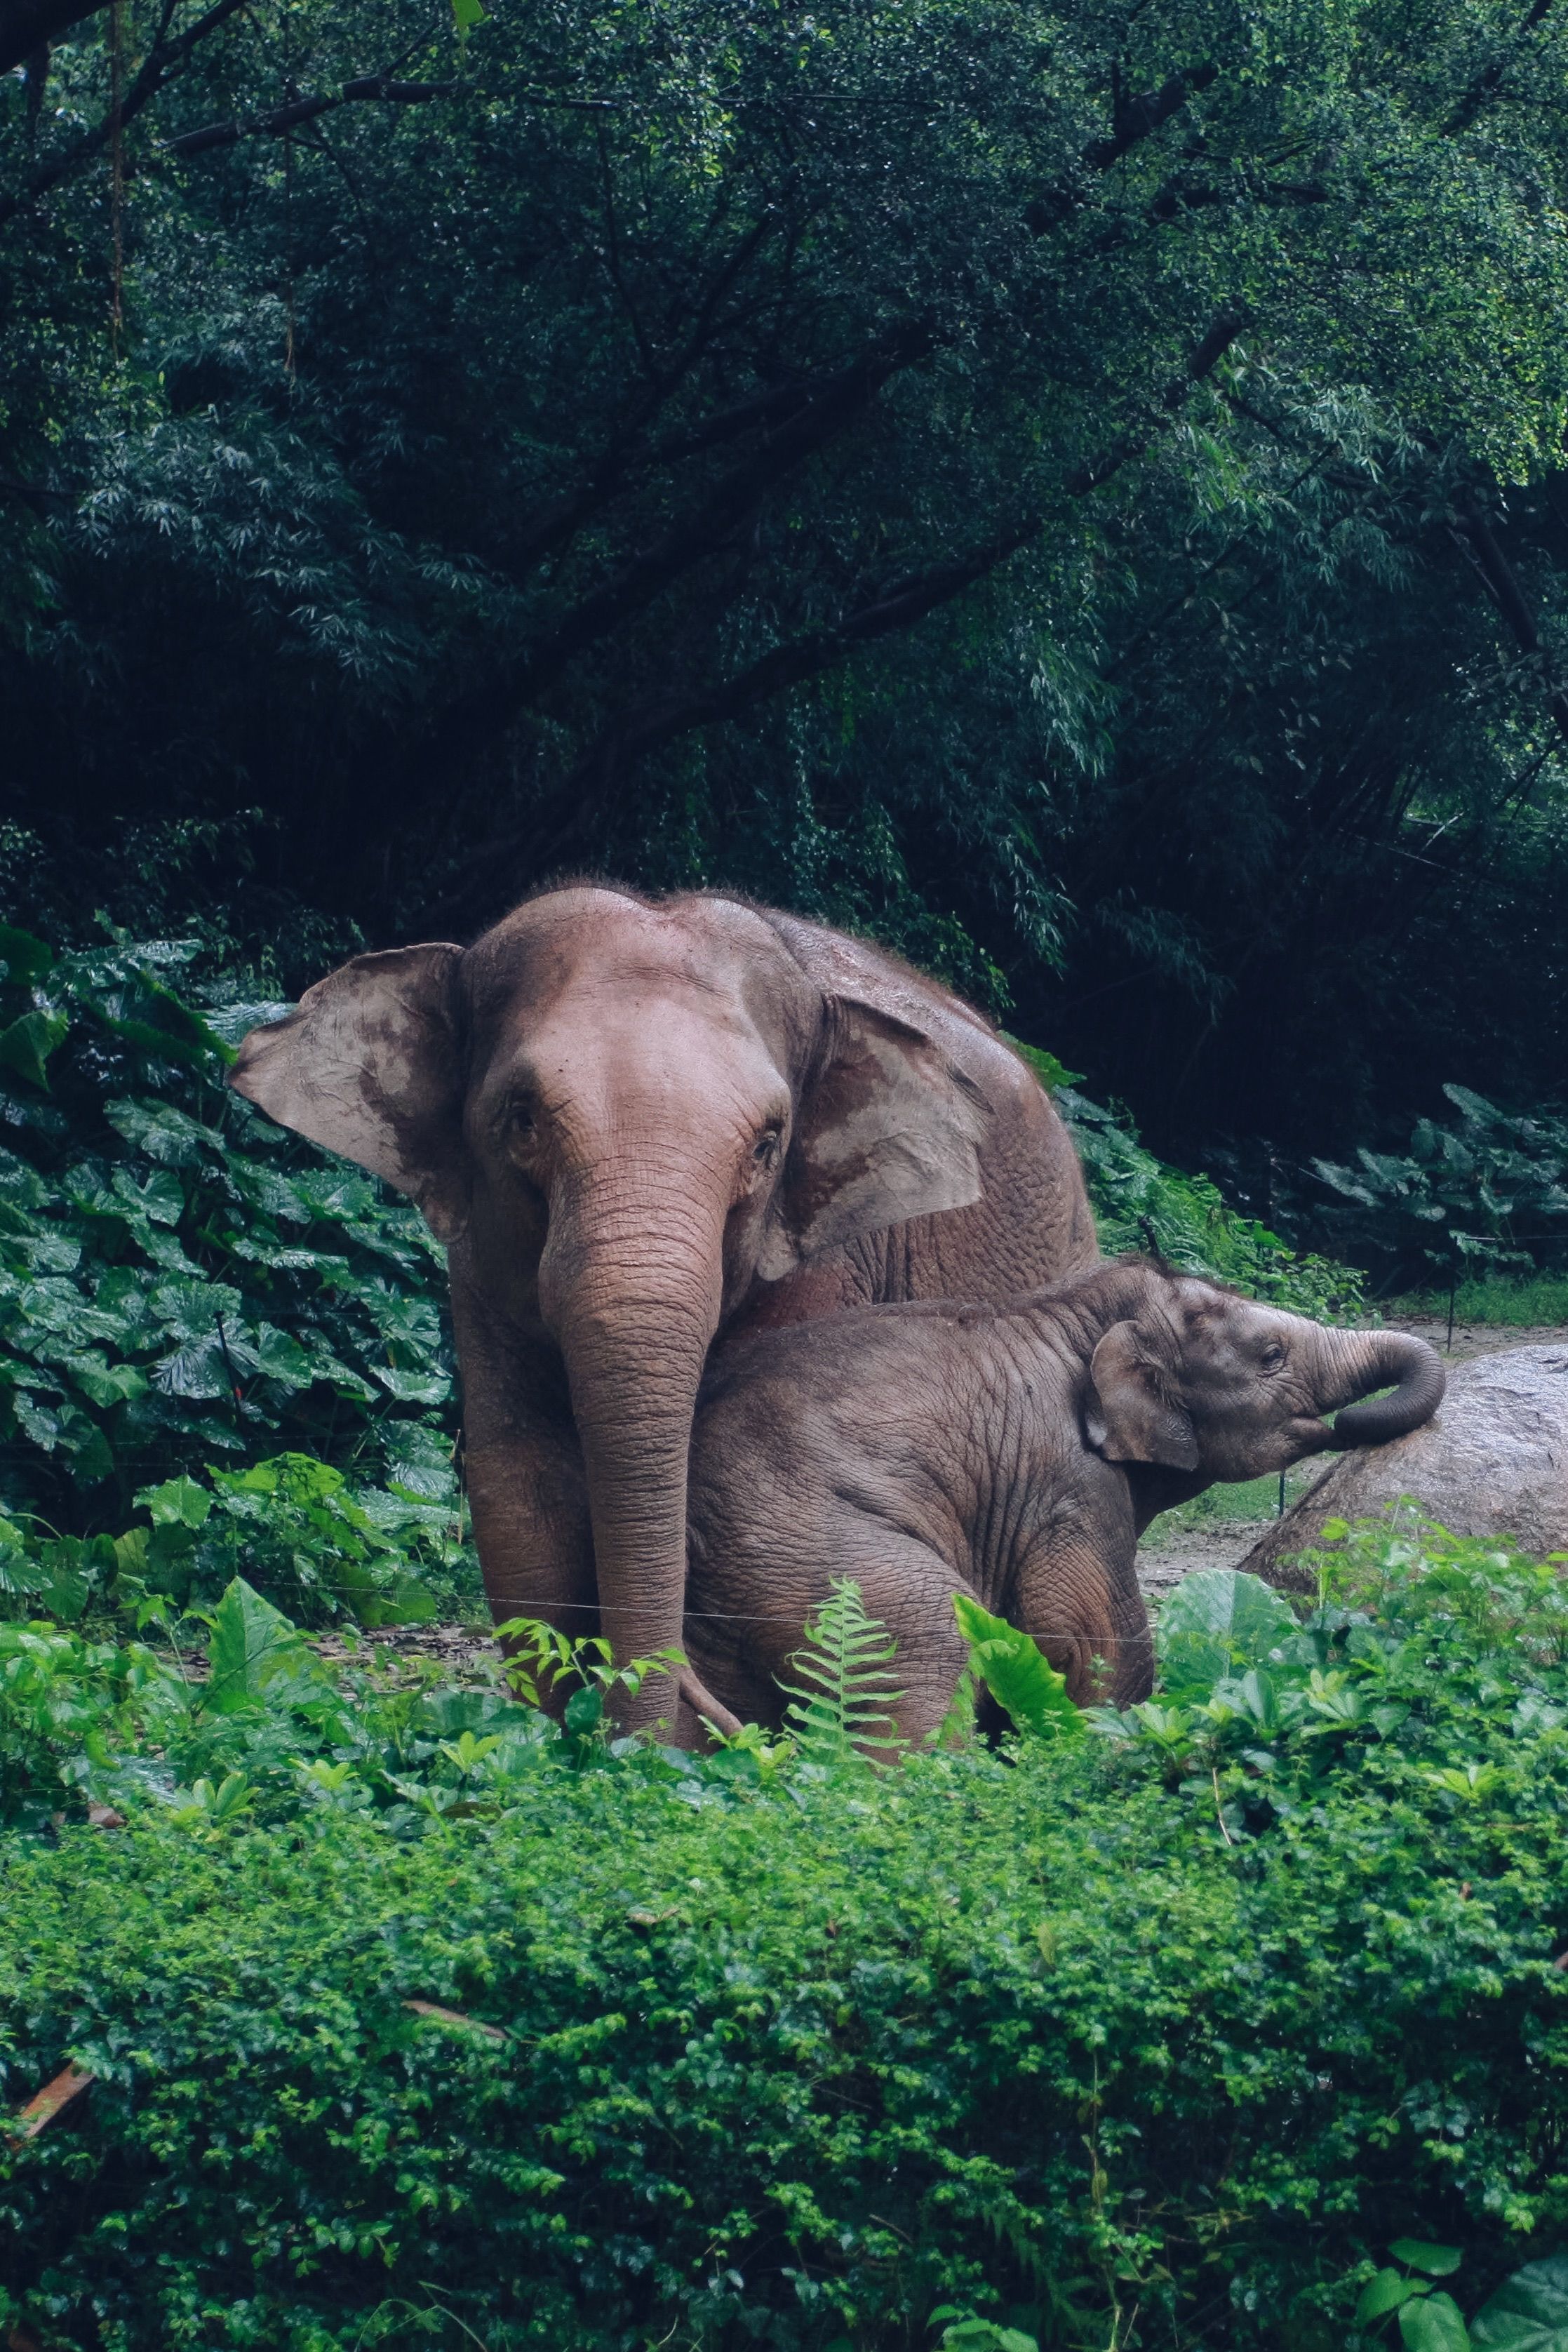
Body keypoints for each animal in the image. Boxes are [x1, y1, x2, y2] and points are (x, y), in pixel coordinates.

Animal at [230, 884, 1097, 1736]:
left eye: (768, 1144)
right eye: (521, 1117)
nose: (665, 1721)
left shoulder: (828, 1256)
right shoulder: (477, 1269)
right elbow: (520, 1492)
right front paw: (581, 1742)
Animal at [682, 1257, 1446, 1737]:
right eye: (1271, 1357)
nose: (1351, 1423)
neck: (1074, 1311)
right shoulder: (1068, 1482)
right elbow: (1093, 1639)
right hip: (803, 1543)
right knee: (929, 1644)